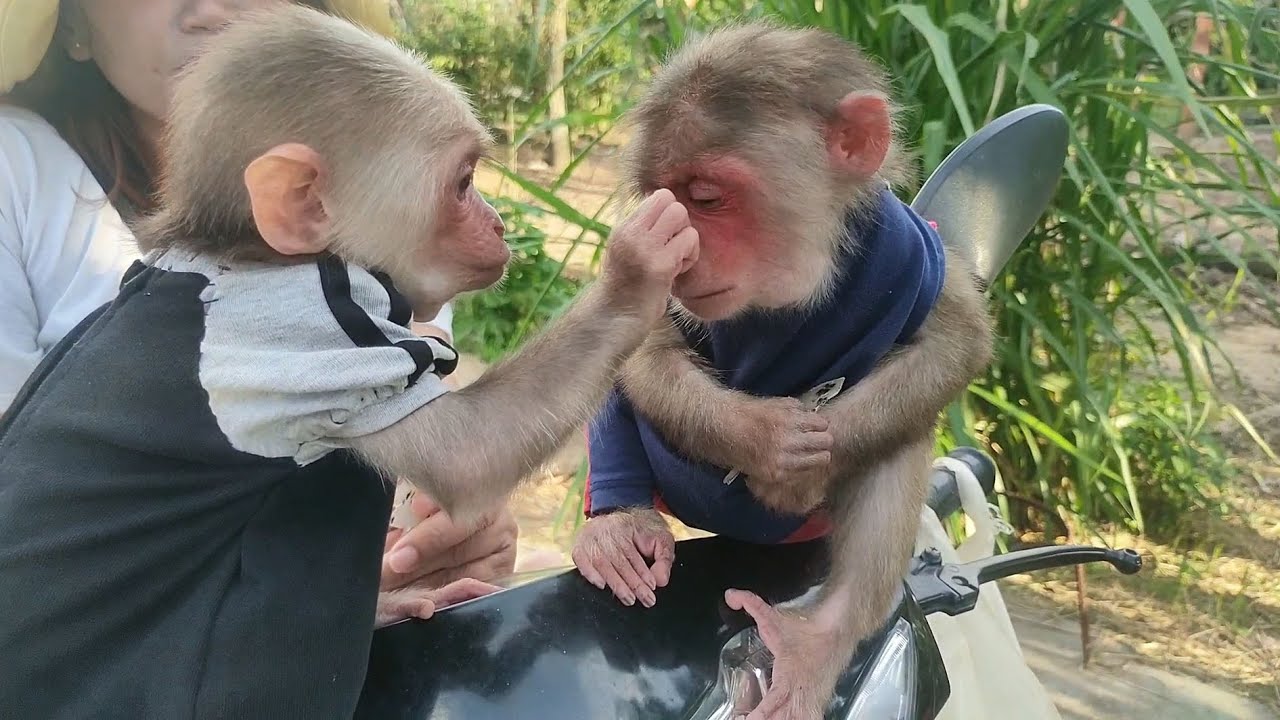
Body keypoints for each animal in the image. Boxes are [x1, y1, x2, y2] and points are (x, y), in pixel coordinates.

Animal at [0, 6, 698, 719]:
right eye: (465, 185)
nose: (501, 223)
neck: (246, 257)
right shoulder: (320, 328)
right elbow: (467, 453)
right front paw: (634, 272)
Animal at [570, 22, 994, 719]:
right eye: (665, 196)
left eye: (707, 197)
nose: (684, 254)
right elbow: (636, 338)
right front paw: (768, 442)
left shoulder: (905, 239)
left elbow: (957, 338)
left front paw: (811, 455)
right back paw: (618, 521)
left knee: (904, 432)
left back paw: (815, 642)